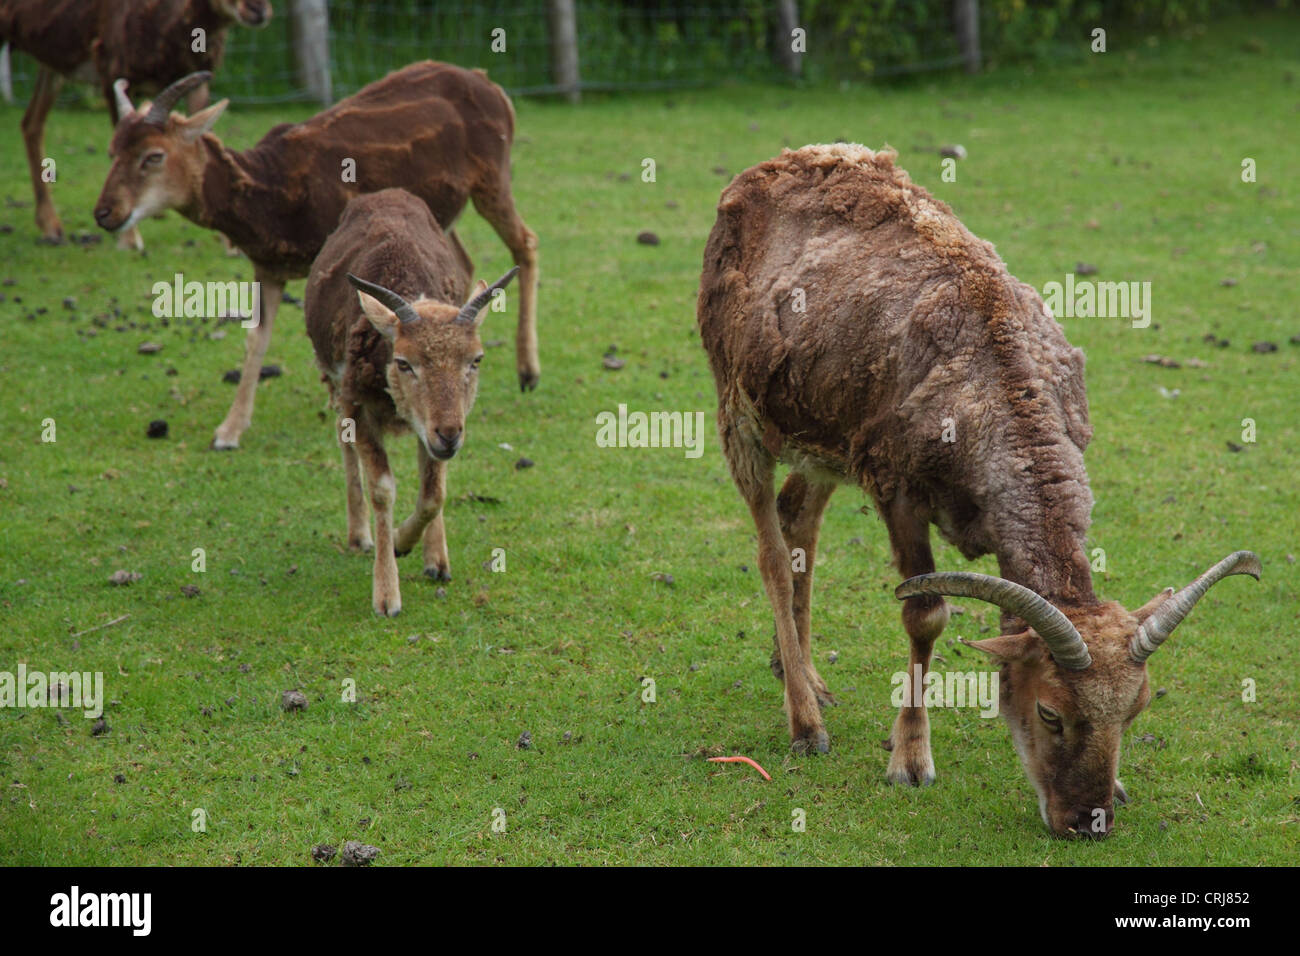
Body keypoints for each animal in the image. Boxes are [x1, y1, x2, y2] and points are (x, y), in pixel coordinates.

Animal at [0, 0, 271, 247]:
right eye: (112, 154)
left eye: (154, 156)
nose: (258, 10)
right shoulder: (110, 66)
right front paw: (130, 241)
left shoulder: (198, 77)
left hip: (52, 66)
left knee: (31, 123)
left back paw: (51, 228)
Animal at [95, 61, 541, 451]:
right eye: (112, 149)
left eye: (153, 155)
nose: (104, 213)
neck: (272, 201)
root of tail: (495, 87)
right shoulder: (266, 265)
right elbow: (256, 337)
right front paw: (228, 432)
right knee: (465, 261)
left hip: (494, 176)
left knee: (526, 242)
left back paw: (528, 373)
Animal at [305, 188, 517, 617]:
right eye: (403, 362)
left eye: (476, 359)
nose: (450, 435)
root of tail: (386, 193)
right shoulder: (361, 405)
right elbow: (383, 488)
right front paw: (387, 595)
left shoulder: (432, 426)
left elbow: (434, 492)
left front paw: (414, 547)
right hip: (337, 385)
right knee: (343, 443)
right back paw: (359, 536)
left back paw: (437, 560)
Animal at [697, 143, 1260, 837]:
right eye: (1050, 713)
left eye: (1134, 712)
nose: (1087, 821)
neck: (998, 386)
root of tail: (776, 164)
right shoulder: (897, 489)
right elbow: (925, 615)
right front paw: (910, 761)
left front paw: (1123, 784)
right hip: (740, 410)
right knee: (772, 549)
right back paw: (806, 721)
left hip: (825, 440)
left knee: (798, 519)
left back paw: (801, 673)